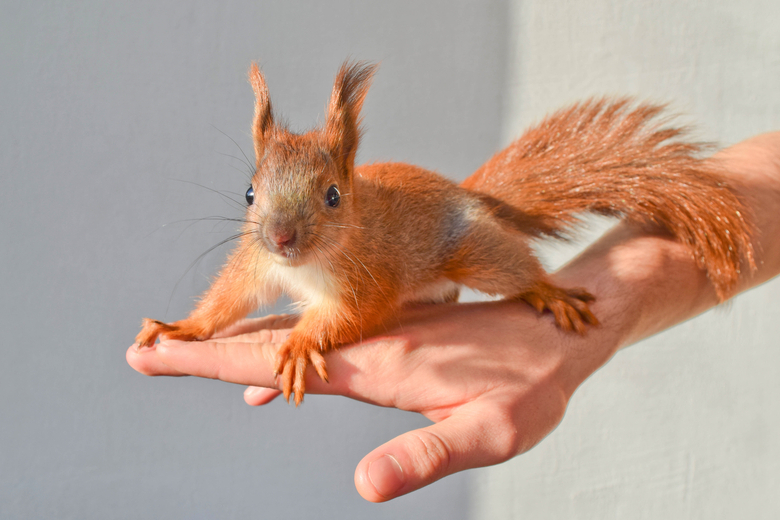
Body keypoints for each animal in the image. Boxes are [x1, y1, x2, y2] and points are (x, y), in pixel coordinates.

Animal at [136, 60, 755, 405]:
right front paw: (183, 326)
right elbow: (228, 301)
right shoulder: (256, 263)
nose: (282, 237)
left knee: (514, 266)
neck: (307, 263)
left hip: (479, 253)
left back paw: (548, 292)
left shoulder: (369, 275)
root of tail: (469, 194)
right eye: (249, 194)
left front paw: (301, 341)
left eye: (333, 195)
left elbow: (352, 315)